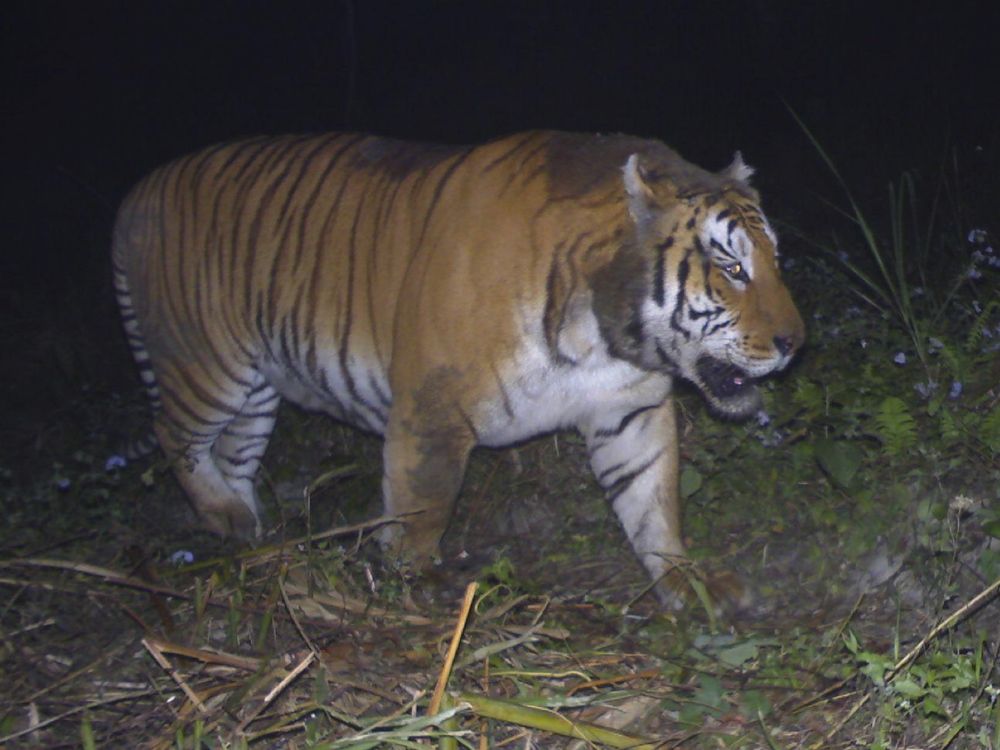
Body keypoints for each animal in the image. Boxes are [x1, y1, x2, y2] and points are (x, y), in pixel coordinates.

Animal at [112, 130, 804, 607]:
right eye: (732, 267)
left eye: (773, 261)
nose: (795, 342)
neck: (602, 338)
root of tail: (139, 191)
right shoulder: (432, 410)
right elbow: (424, 506)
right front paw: (411, 586)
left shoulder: (628, 408)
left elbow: (654, 501)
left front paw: (688, 581)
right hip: (206, 367)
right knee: (173, 436)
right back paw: (227, 517)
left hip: (256, 391)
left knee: (232, 456)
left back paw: (251, 531)